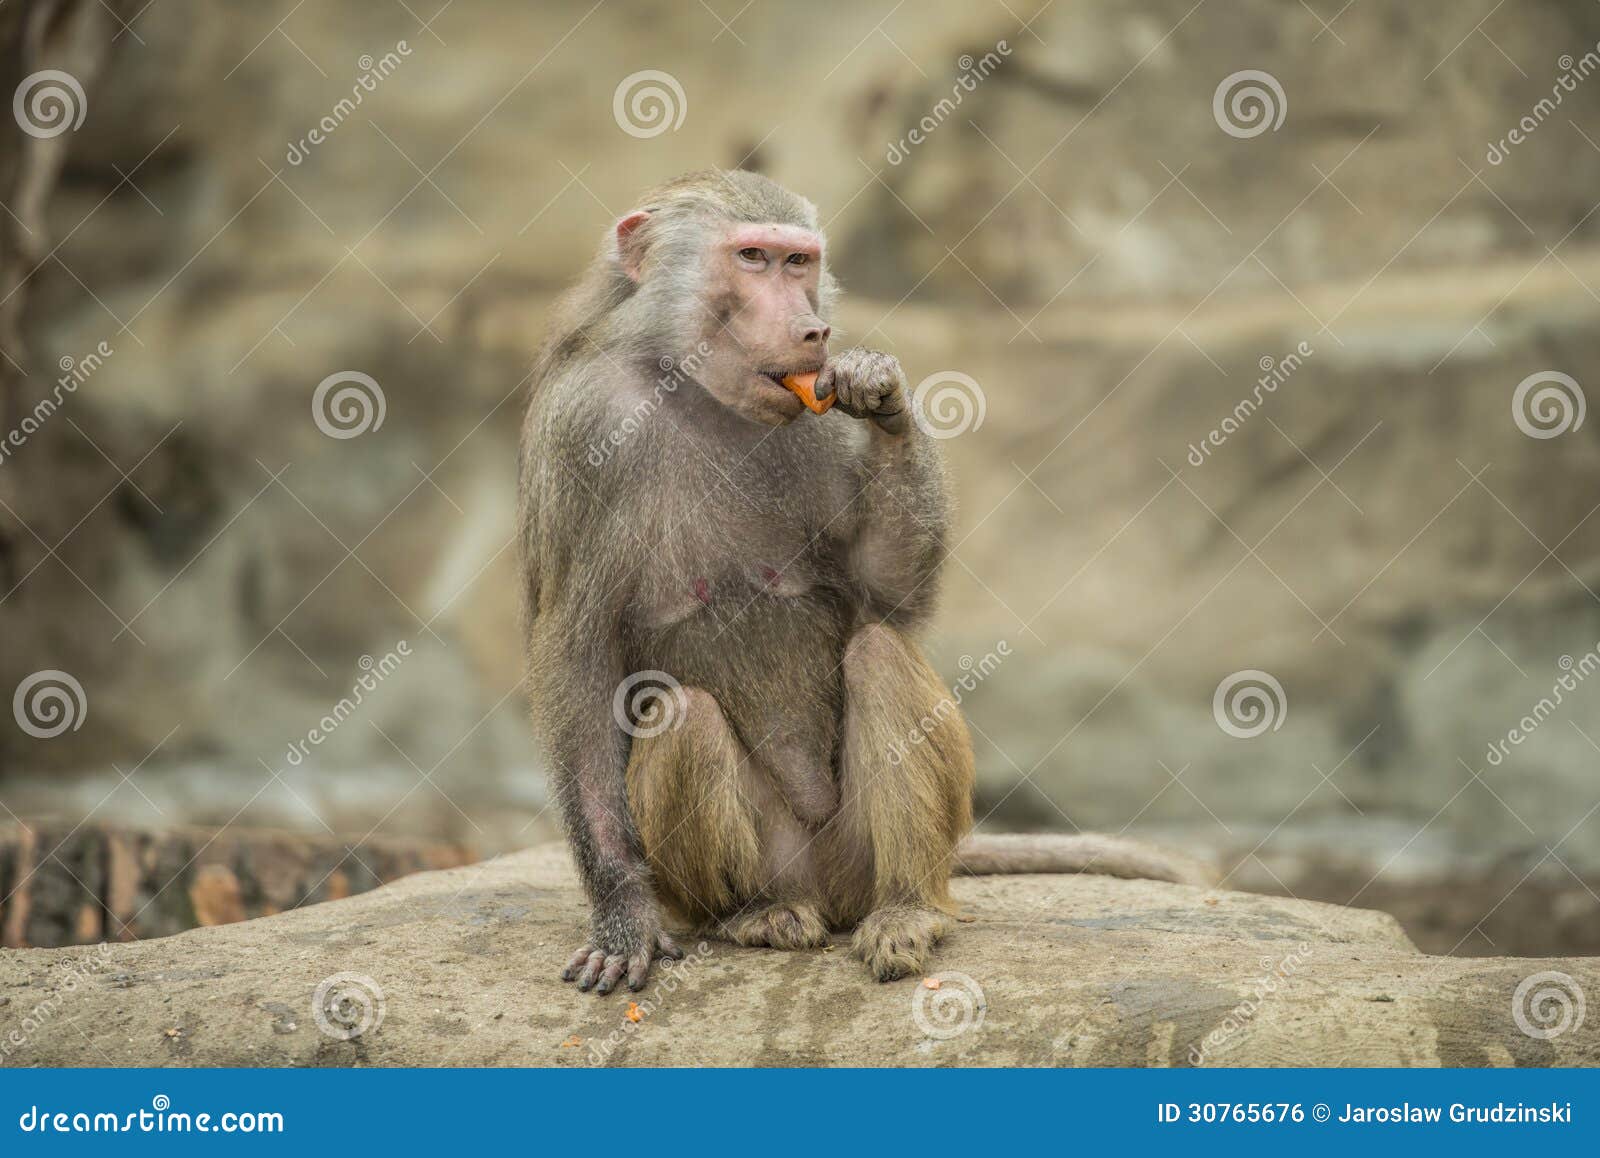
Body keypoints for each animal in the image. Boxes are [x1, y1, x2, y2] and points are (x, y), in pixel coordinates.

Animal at [517, 169, 1213, 996]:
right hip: (764, 862)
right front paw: (624, 917)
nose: (813, 331)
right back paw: (754, 914)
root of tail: (824, 889)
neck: (690, 387)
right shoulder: (580, 428)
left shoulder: (817, 416)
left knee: (878, 656)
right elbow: (580, 656)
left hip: (859, 857)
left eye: (799, 263)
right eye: (752, 258)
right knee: (681, 715)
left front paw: (881, 392)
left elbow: (888, 596)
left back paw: (908, 911)